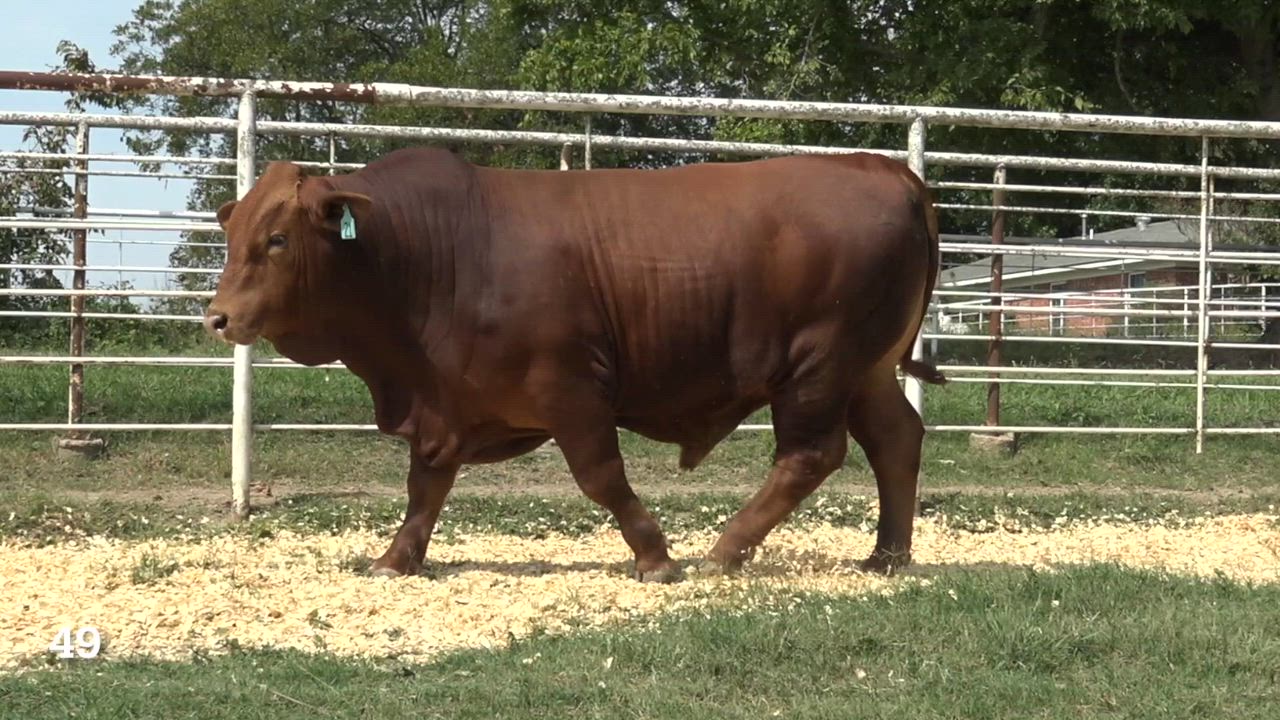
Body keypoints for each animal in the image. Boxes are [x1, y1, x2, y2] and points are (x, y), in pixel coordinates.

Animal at [204, 147, 945, 582]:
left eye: (276, 239)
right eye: (233, 233)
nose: (218, 317)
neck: (429, 254)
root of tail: (887, 169)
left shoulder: (570, 389)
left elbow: (601, 478)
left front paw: (655, 556)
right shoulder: (444, 406)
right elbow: (425, 489)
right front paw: (395, 559)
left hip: (818, 365)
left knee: (810, 456)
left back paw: (722, 551)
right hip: (866, 368)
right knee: (896, 440)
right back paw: (887, 554)